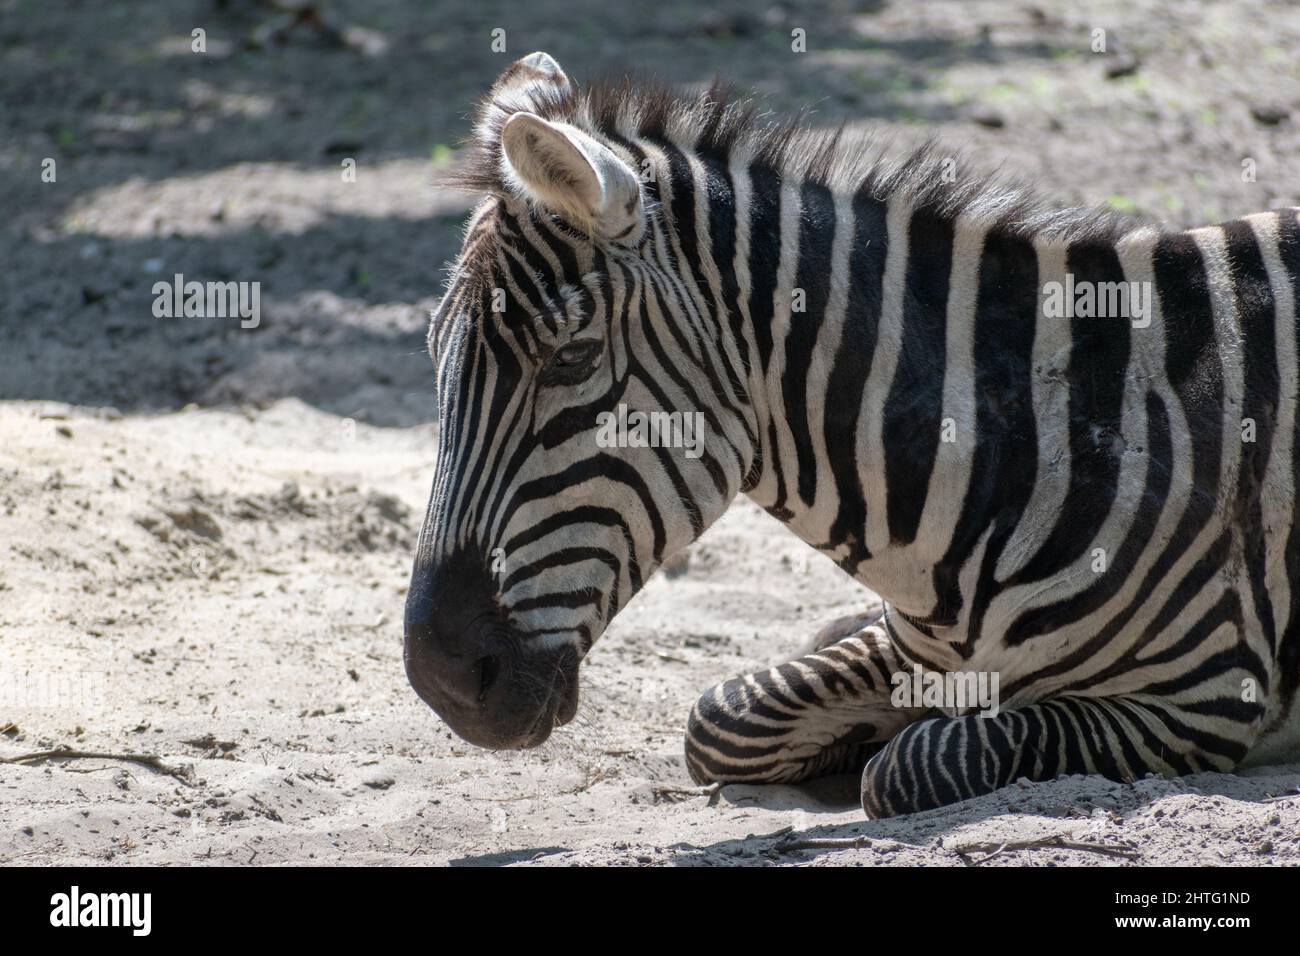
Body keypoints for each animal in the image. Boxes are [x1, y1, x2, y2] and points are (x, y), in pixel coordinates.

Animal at [404, 51, 1300, 818]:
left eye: (572, 358)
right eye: (434, 354)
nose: (439, 679)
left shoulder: (1201, 697)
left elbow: (920, 761)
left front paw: (875, 750)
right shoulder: (913, 650)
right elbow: (719, 719)